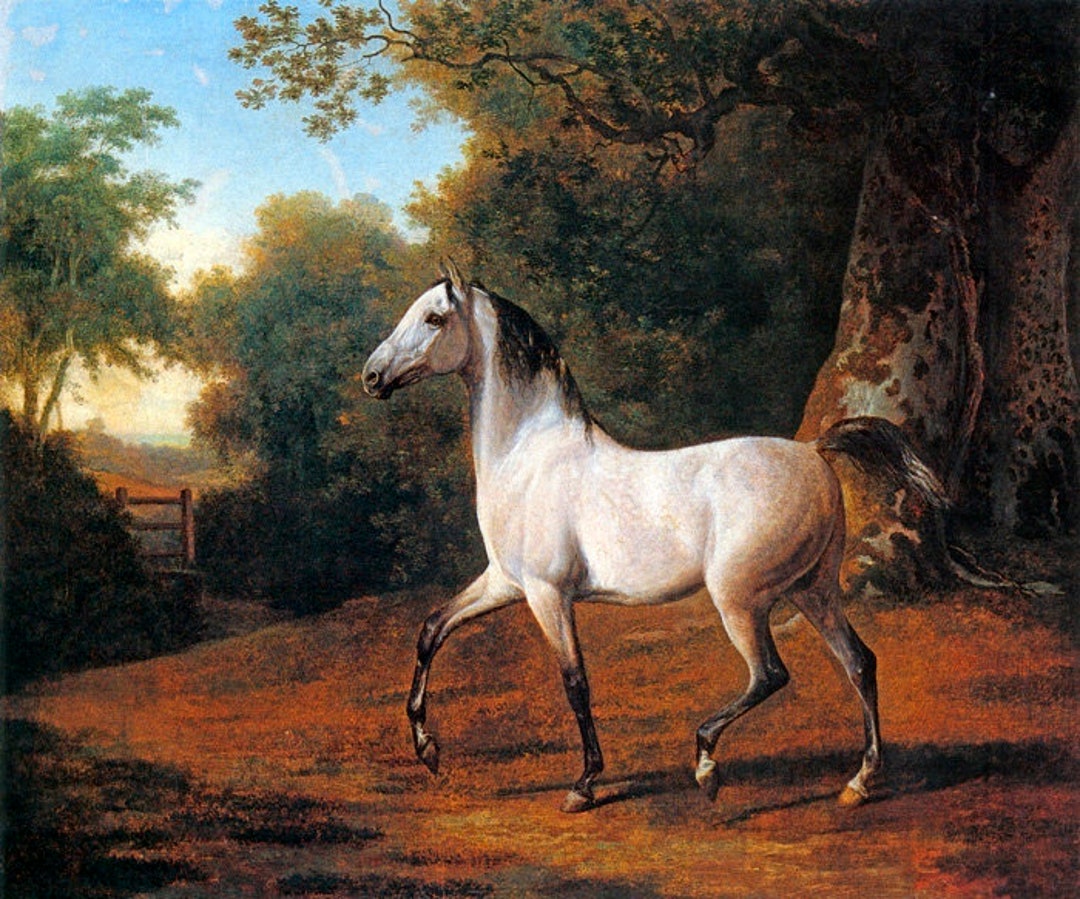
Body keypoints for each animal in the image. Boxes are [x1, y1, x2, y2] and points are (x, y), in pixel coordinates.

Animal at [361, 261, 947, 814]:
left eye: (434, 319)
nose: (371, 376)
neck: (529, 454)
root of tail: (813, 452)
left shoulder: (548, 595)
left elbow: (575, 683)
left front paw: (584, 785)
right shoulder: (506, 583)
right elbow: (432, 629)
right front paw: (427, 750)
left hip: (740, 597)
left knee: (770, 674)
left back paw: (707, 766)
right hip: (813, 589)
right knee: (859, 663)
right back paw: (860, 782)